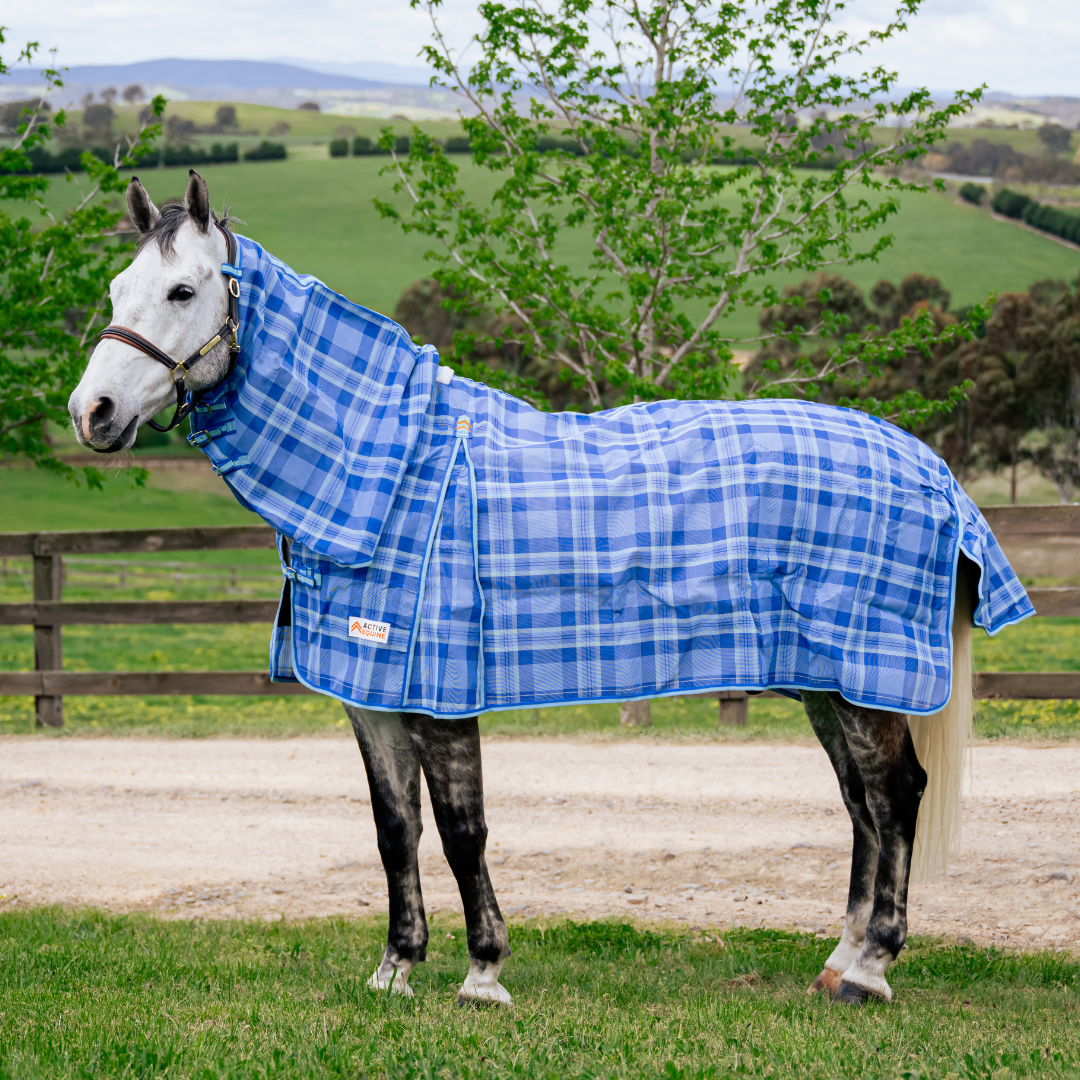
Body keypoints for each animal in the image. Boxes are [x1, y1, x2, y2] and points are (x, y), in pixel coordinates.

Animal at [68, 170, 1031, 1007]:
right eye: (117, 290)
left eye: (183, 291)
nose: (93, 414)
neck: (393, 469)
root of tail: (933, 471)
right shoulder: (368, 692)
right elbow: (395, 828)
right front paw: (394, 970)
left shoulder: (440, 690)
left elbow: (462, 828)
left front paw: (482, 974)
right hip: (827, 677)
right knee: (862, 804)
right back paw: (838, 961)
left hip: (868, 673)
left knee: (896, 795)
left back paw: (871, 970)